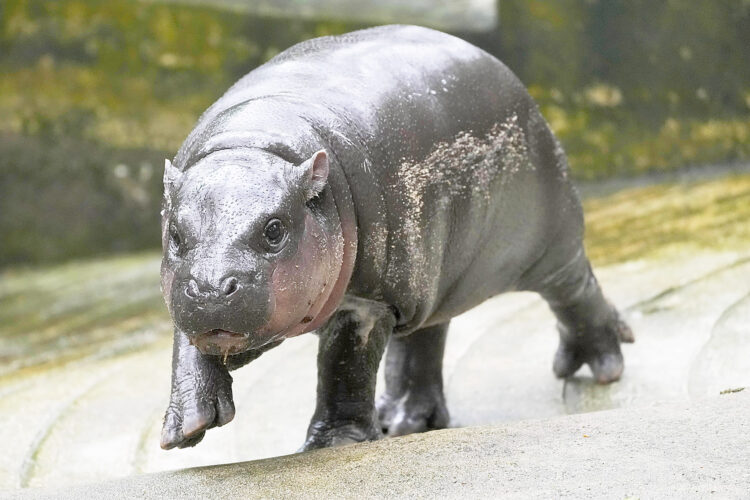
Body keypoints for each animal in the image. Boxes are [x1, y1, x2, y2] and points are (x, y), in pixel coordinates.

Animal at [159, 25, 634, 450]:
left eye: (274, 230)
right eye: (175, 234)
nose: (210, 290)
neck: (255, 143)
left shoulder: (370, 300)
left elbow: (345, 366)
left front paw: (336, 444)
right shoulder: (185, 293)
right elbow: (186, 344)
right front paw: (185, 428)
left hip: (547, 244)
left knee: (575, 291)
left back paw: (601, 365)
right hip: (431, 277)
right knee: (423, 341)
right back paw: (404, 420)